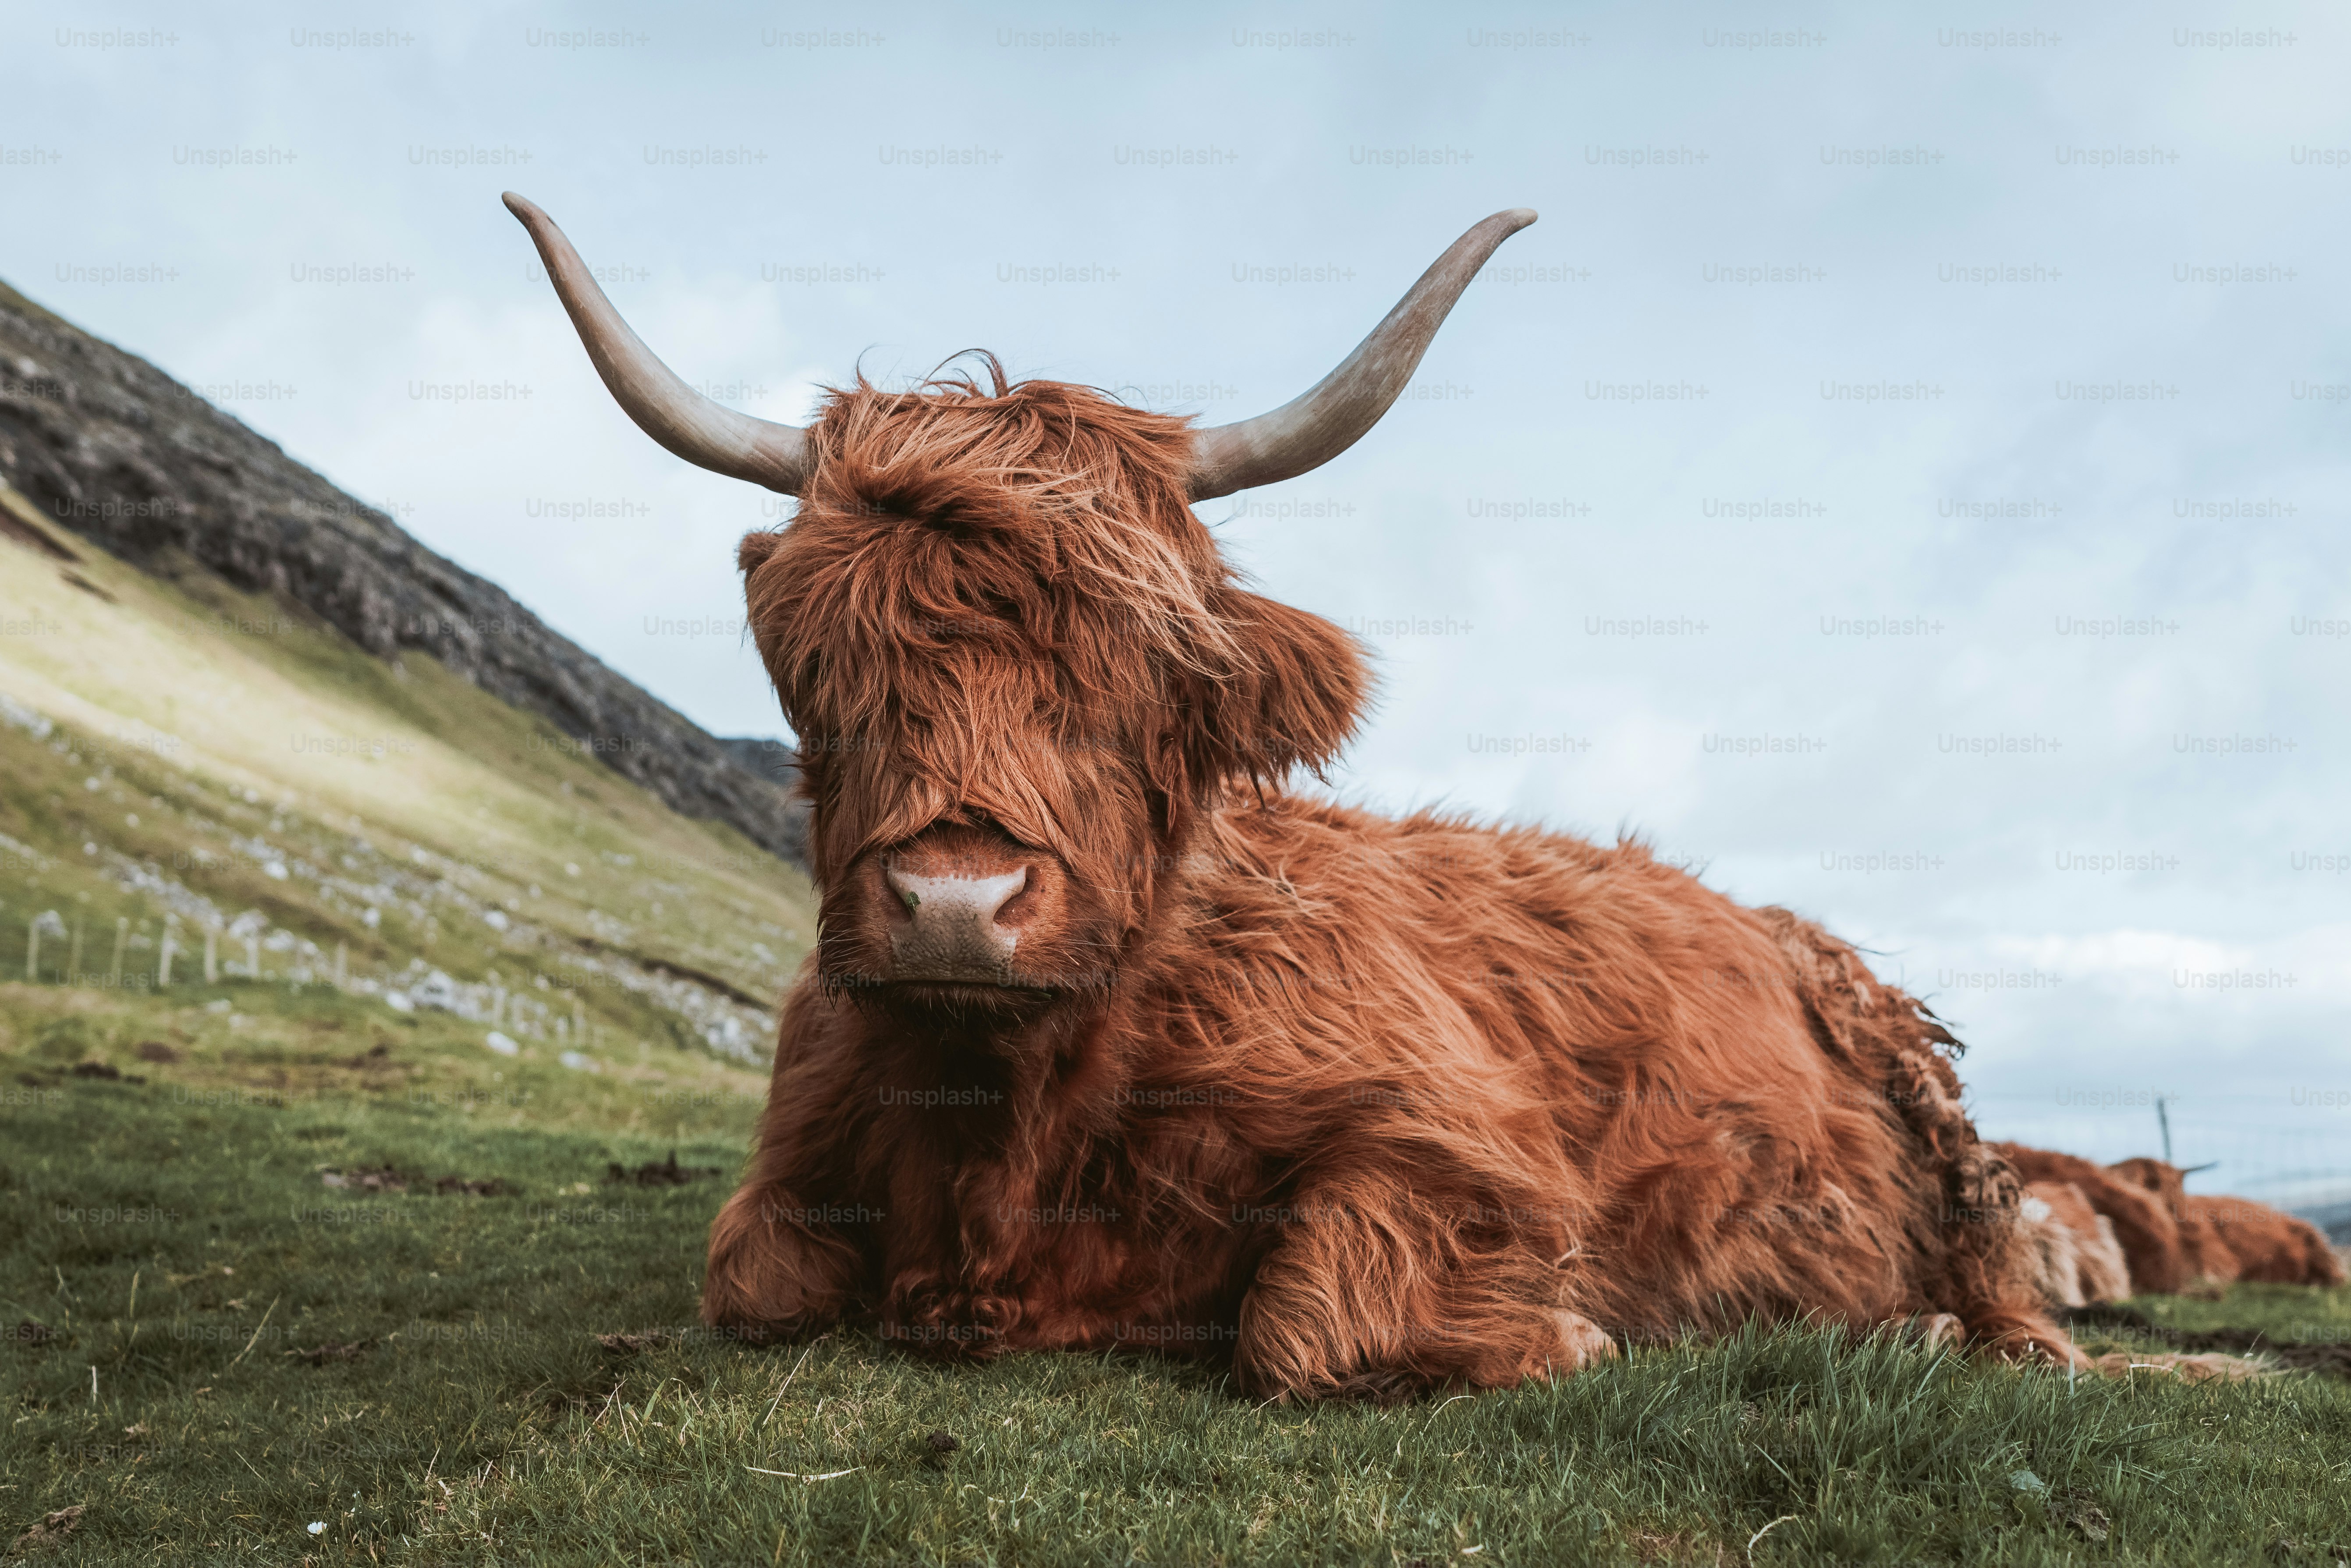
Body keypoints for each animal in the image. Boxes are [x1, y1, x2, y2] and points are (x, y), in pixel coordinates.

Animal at [506, 192, 2081, 1399]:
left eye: (1153, 675)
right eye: (822, 668)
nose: (956, 902)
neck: (1005, 1132)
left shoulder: (1461, 1140)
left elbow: (1303, 1319)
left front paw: (1572, 1330)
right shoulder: (797, 1151)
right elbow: (752, 1273)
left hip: (1942, 1125)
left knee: (2007, 1286)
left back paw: (1942, 1329)